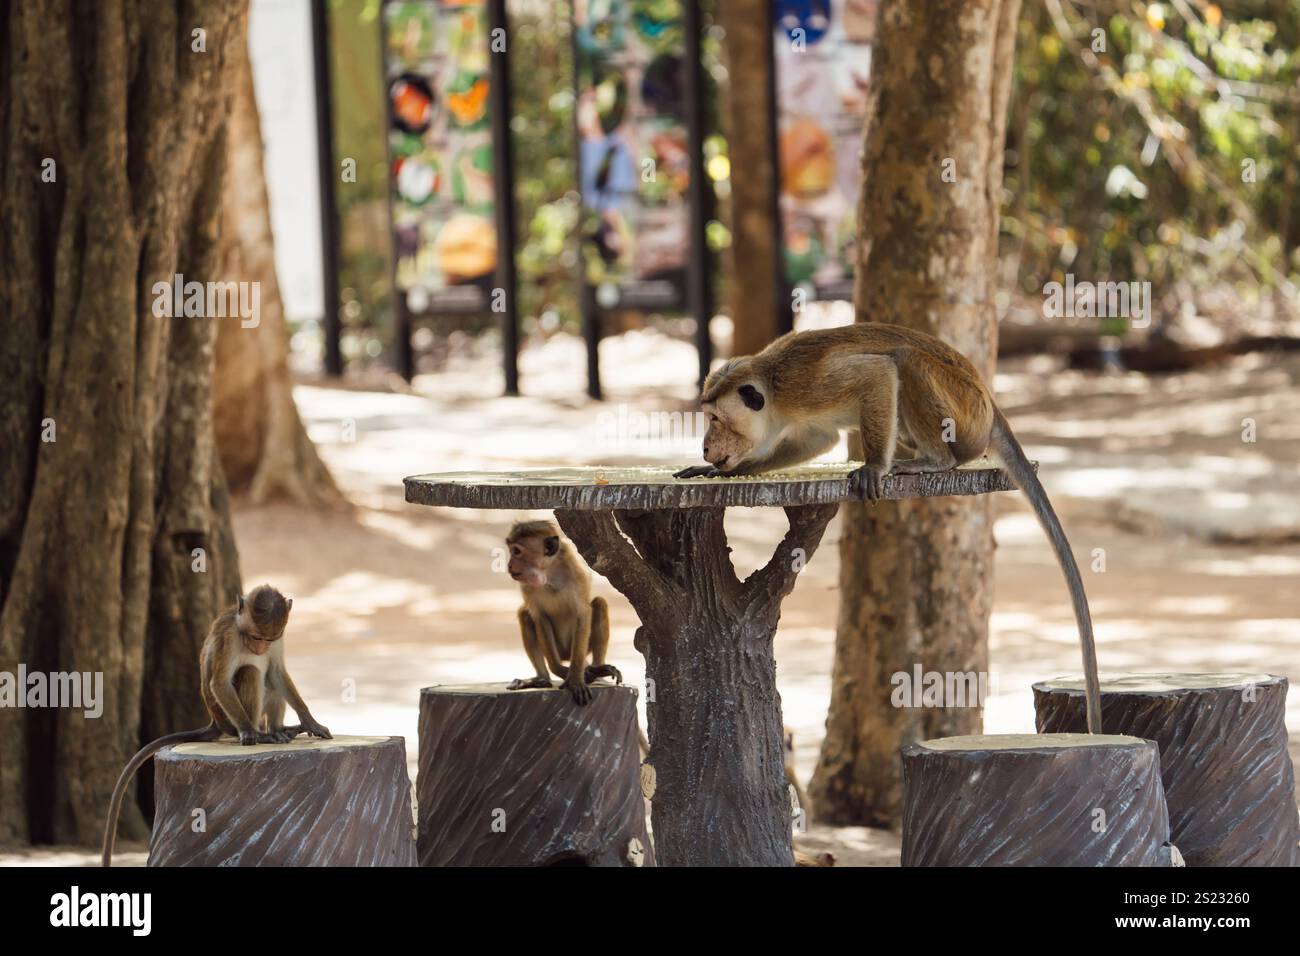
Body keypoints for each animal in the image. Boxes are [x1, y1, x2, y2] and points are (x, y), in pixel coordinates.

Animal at [101, 584, 331, 866]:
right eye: (255, 636)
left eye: (269, 638)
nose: (259, 647)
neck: (242, 631)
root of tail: (214, 721)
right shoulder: (229, 637)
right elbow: (219, 682)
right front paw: (249, 731)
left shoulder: (279, 640)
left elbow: (278, 671)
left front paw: (310, 721)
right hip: (226, 718)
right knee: (250, 672)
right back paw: (260, 733)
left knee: (268, 675)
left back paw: (277, 730)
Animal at [505, 519, 622, 706]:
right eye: (511, 551)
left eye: (516, 551)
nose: (509, 564)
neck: (549, 573)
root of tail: (566, 654)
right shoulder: (527, 585)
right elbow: (540, 618)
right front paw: (560, 671)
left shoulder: (577, 574)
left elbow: (583, 613)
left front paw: (575, 679)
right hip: (559, 650)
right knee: (525, 614)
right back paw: (541, 678)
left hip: (578, 649)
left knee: (599, 603)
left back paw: (597, 670)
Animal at [673, 323, 1103, 734]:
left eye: (714, 419)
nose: (707, 447)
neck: (775, 391)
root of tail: (991, 405)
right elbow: (817, 439)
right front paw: (721, 472)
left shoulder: (805, 385)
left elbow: (877, 373)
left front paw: (875, 466)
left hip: (966, 414)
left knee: (906, 360)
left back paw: (934, 459)